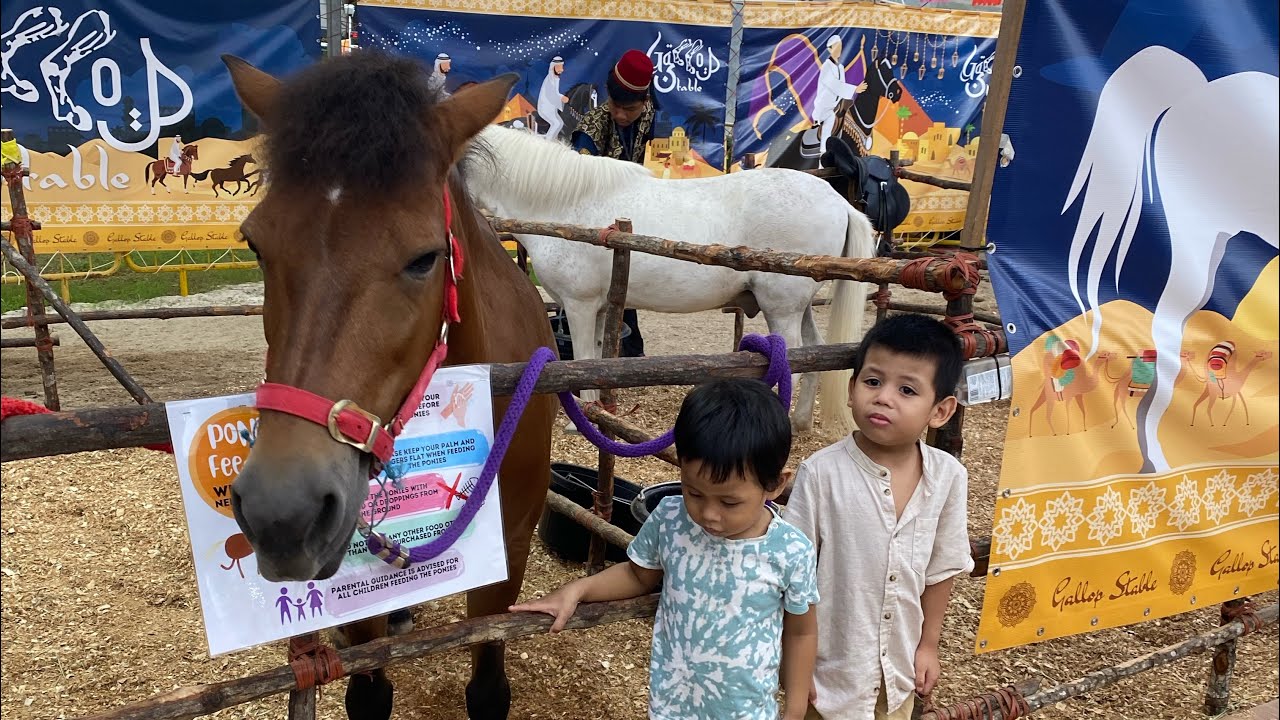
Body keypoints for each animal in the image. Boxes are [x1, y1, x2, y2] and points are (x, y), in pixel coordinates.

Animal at [221, 52, 556, 720]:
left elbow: (488, 688)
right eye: (256, 244)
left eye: (425, 258)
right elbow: (369, 694)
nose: (281, 510)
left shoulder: (509, 552)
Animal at [464, 124, 876, 434]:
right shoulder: (599, 308)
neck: (563, 204)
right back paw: (802, 422)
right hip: (798, 305)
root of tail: (838, 201)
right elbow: (594, 359)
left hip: (782, 307)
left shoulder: (579, 306)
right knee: (814, 352)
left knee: (792, 356)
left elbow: (579, 361)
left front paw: (580, 423)